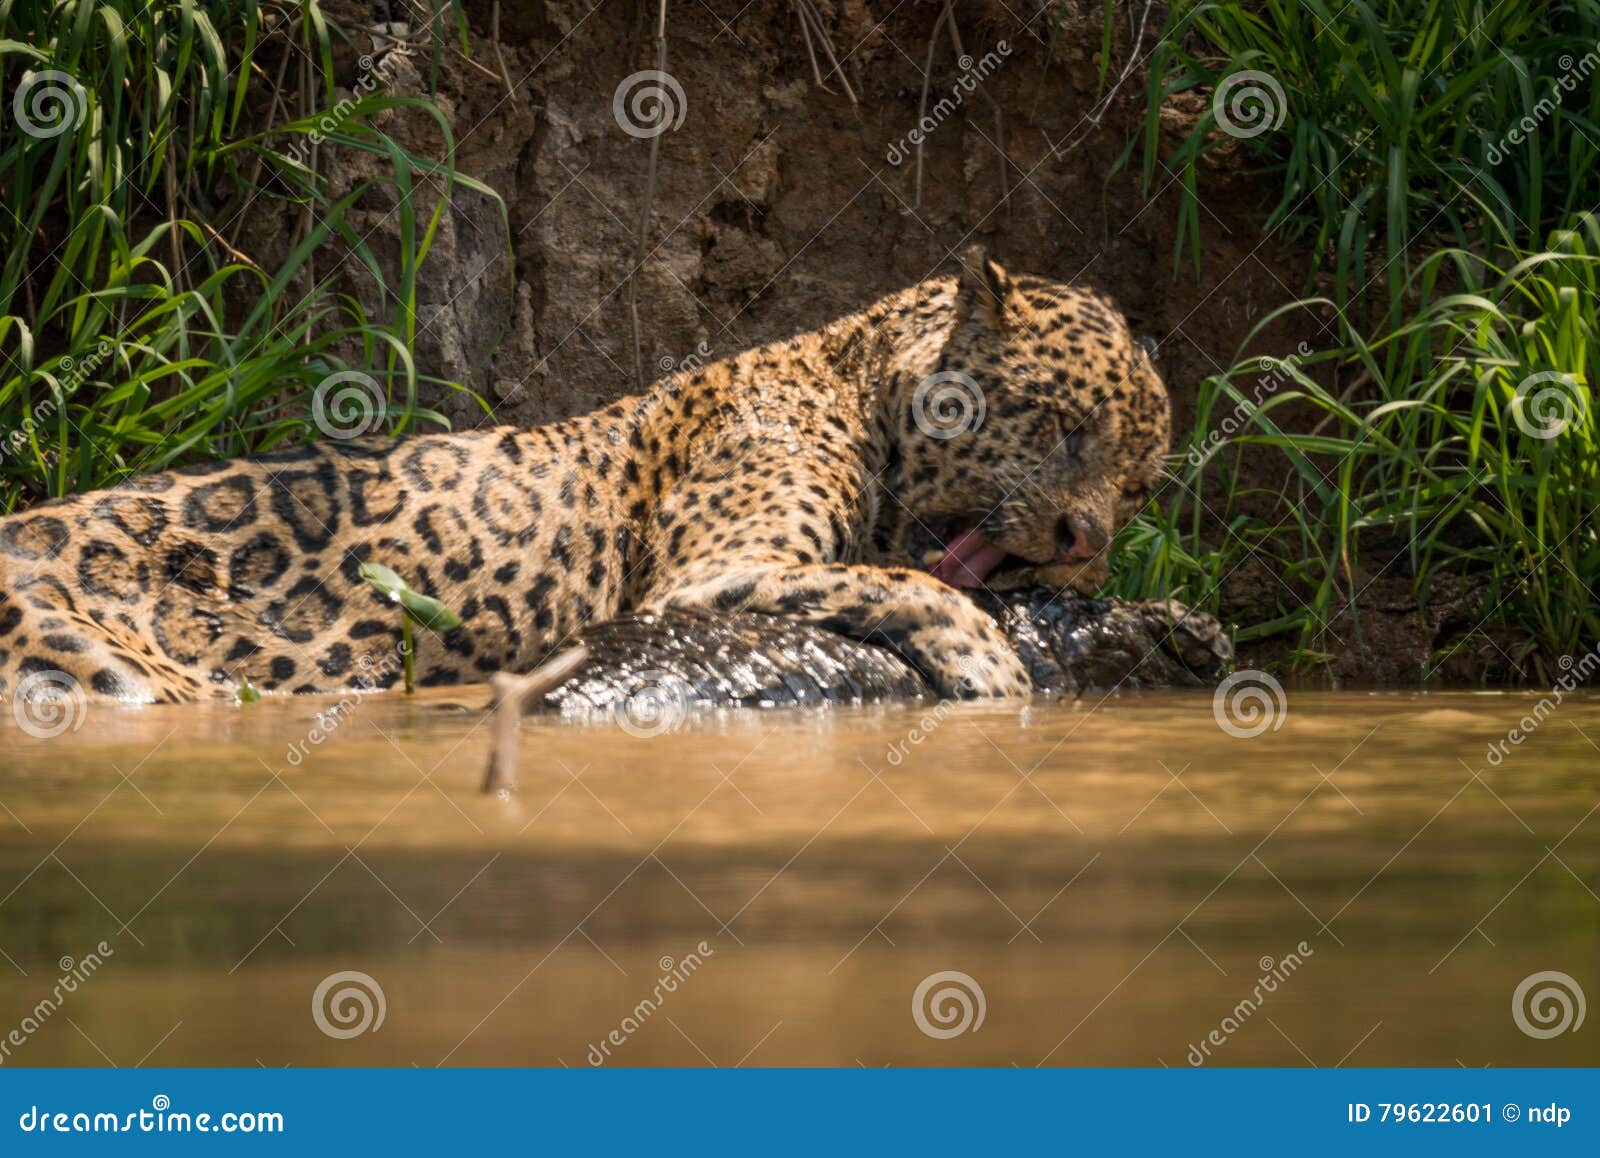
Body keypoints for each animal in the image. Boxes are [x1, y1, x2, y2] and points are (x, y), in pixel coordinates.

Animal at [0, 247, 1170, 707]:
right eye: (1064, 425)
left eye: (1141, 487)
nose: (1082, 545)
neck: (851, 376)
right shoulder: (718, 570)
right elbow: (902, 582)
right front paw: (988, 664)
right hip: (103, 668)